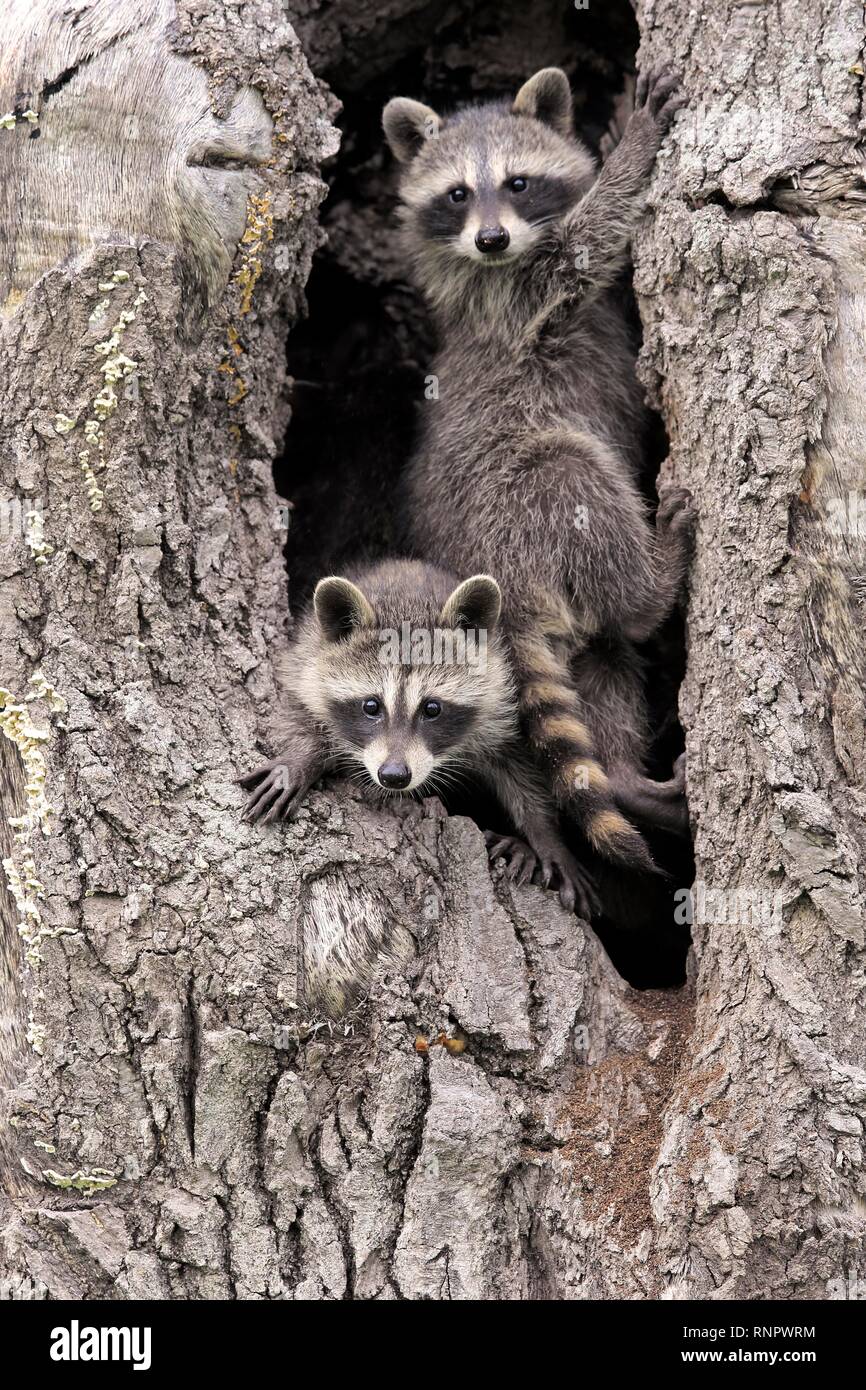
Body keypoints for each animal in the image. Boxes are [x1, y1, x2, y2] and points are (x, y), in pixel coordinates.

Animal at [241, 559, 598, 916]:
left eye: (432, 708)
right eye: (371, 706)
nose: (394, 776)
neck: (406, 599)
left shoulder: (500, 699)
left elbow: (520, 764)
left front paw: (545, 833)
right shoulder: (305, 661)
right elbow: (296, 712)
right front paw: (301, 759)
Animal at [382, 64, 695, 872]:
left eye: (518, 183)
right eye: (458, 194)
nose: (492, 237)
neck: (495, 261)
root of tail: (496, 575)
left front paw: (612, 137)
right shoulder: (515, 294)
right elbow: (591, 238)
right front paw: (634, 149)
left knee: (607, 662)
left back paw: (625, 777)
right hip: (524, 492)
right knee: (573, 472)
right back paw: (655, 584)